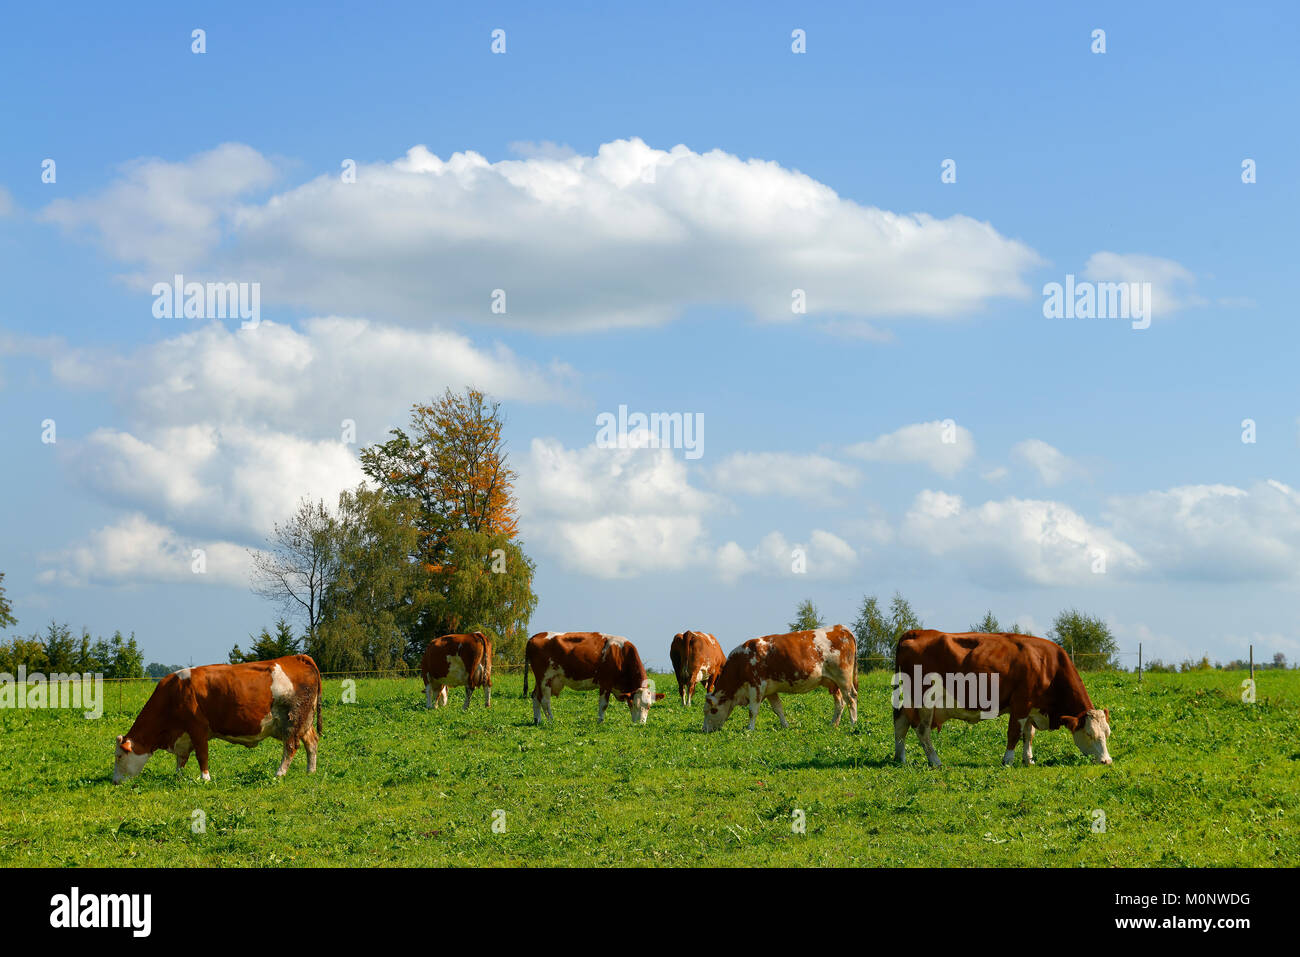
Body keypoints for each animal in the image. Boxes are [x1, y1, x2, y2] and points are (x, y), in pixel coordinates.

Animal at [112, 654, 322, 783]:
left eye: (119, 756)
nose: (114, 782)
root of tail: (295, 658)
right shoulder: (183, 735)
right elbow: (181, 759)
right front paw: (178, 776)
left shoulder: (197, 727)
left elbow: (201, 754)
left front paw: (205, 778)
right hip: (305, 721)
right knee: (311, 742)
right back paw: (310, 771)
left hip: (292, 720)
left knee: (291, 746)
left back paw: (279, 773)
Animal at [523, 631, 665, 725]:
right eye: (633, 704)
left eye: (649, 706)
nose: (640, 724)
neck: (620, 655)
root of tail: (535, 636)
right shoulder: (605, 683)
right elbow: (603, 704)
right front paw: (600, 721)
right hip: (545, 679)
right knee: (545, 701)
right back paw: (551, 721)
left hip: (541, 680)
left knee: (535, 696)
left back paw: (537, 720)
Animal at [702, 626, 858, 732]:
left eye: (712, 710)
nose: (704, 730)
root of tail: (841, 628)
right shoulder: (770, 690)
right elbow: (778, 709)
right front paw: (785, 725)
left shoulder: (756, 686)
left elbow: (753, 710)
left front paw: (750, 729)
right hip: (833, 683)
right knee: (840, 703)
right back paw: (833, 724)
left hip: (843, 678)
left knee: (851, 698)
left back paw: (853, 724)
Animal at [893, 629, 1112, 768]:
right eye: (1090, 734)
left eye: (1107, 733)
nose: (1107, 761)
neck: (1047, 665)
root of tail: (917, 632)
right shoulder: (1021, 703)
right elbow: (1014, 733)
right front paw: (1008, 760)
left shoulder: (1032, 707)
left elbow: (1028, 734)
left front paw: (1028, 760)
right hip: (924, 701)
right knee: (922, 731)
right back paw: (935, 761)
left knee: (900, 724)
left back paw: (899, 758)